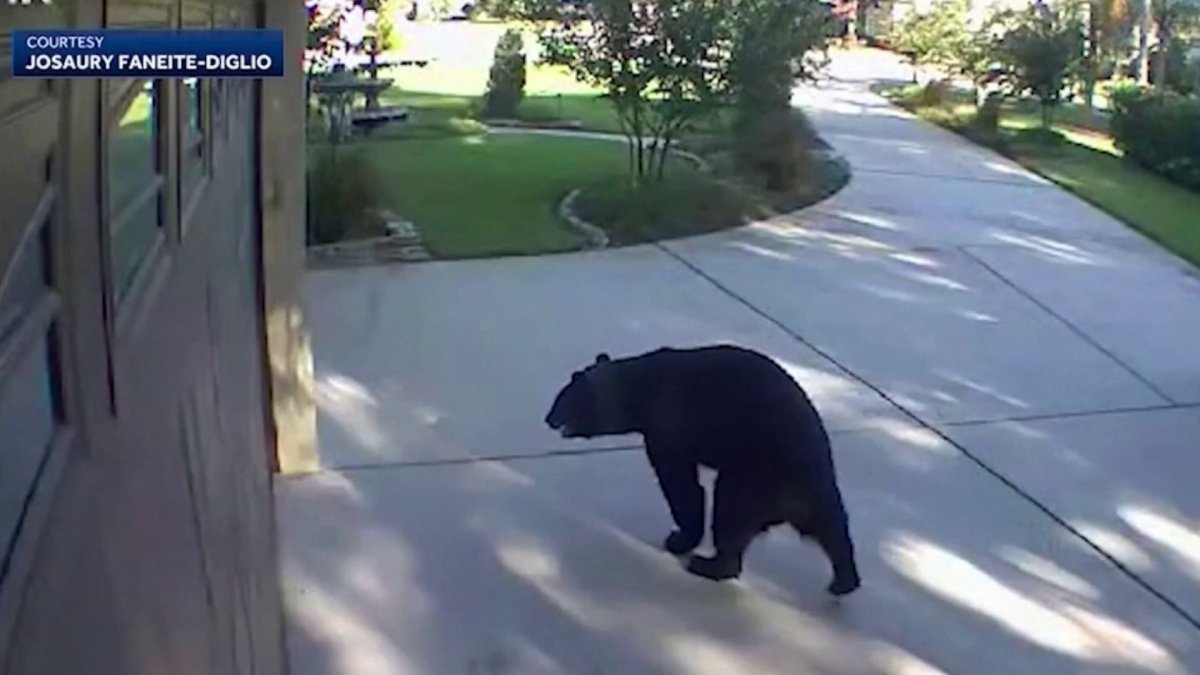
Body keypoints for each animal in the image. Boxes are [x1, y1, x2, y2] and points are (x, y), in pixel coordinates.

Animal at [544, 345, 861, 596]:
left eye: (561, 400)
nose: (547, 418)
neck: (639, 392)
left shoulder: (669, 424)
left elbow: (680, 482)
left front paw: (679, 538)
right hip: (813, 485)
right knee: (832, 526)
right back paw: (844, 579)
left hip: (755, 469)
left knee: (731, 512)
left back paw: (709, 564)